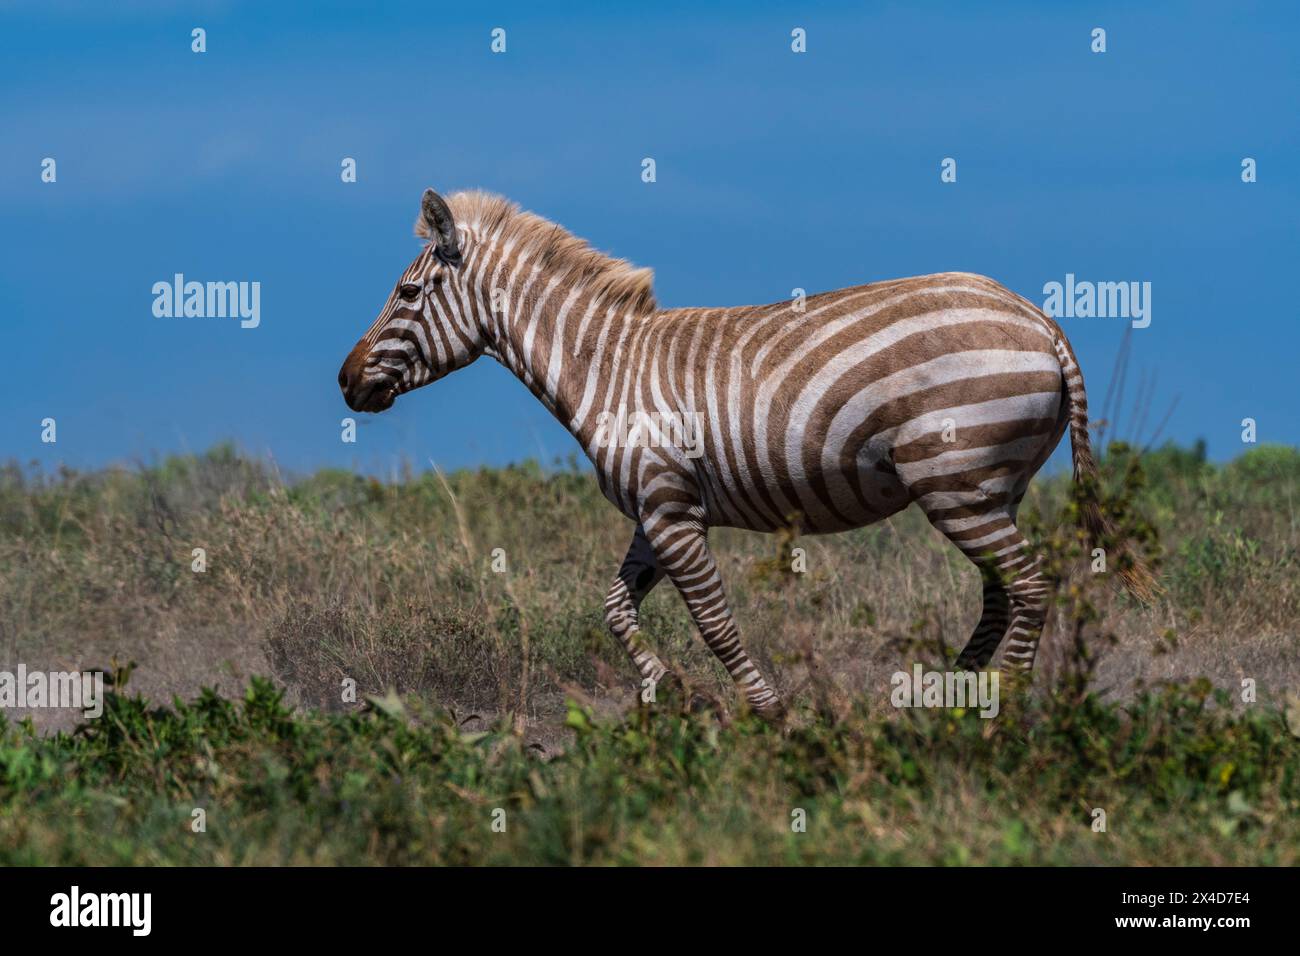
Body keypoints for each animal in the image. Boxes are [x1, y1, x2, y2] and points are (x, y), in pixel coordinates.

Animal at [339, 187, 1155, 721]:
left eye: (407, 295)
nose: (346, 383)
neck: (605, 367)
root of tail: (1040, 319)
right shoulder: (656, 508)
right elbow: (615, 610)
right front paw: (673, 693)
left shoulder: (670, 510)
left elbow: (714, 622)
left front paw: (768, 713)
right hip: (986, 488)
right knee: (1002, 594)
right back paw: (945, 699)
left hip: (955, 483)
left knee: (1032, 586)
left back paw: (999, 713)